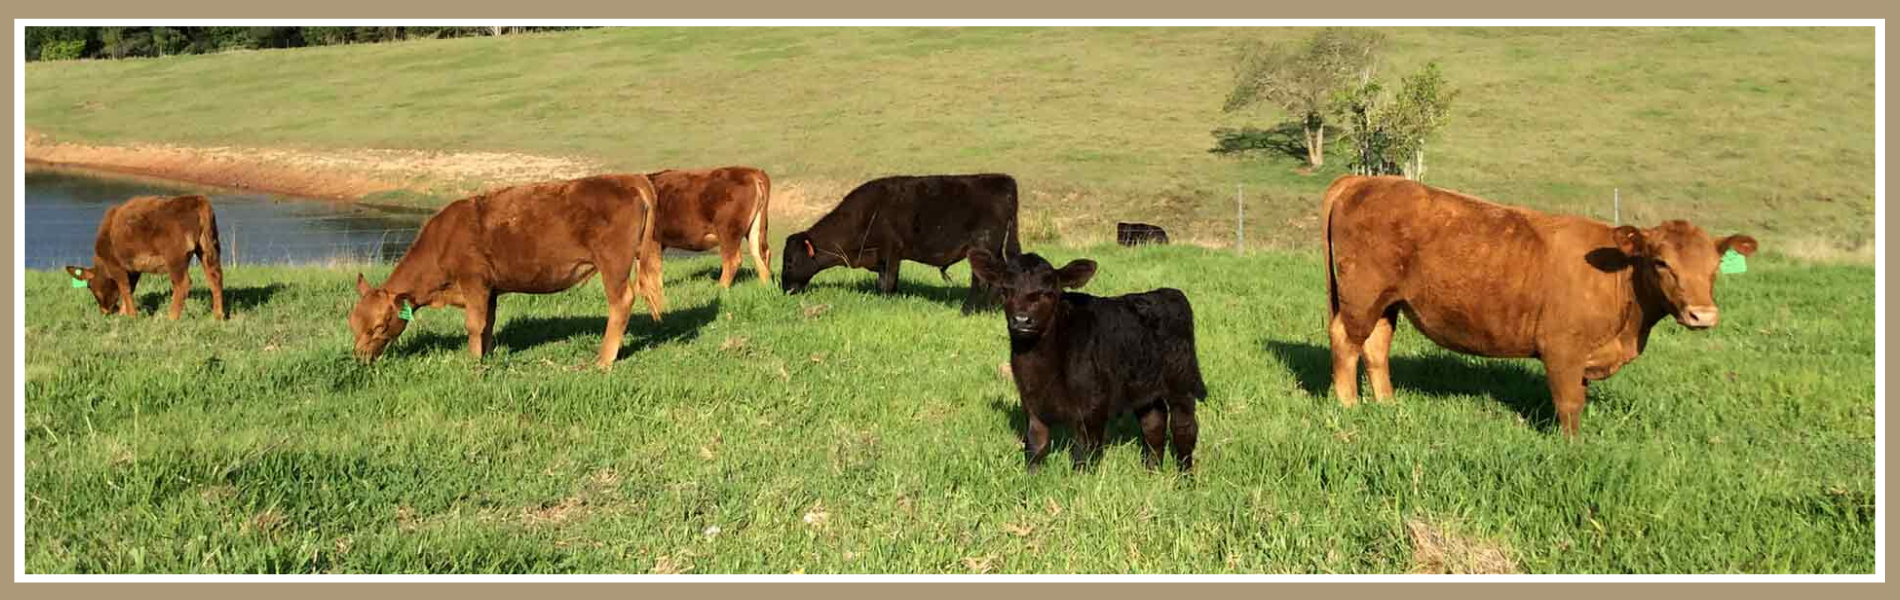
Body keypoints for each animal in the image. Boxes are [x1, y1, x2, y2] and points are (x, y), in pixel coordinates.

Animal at [65, 194, 226, 321]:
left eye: (90, 286)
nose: (104, 311)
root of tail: (198, 201)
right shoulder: (133, 268)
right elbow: (131, 288)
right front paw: (124, 312)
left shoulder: (115, 265)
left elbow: (124, 287)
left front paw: (131, 315)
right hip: (208, 248)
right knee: (215, 277)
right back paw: (218, 315)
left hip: (175, 258)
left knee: (183, 284)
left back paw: (171, 317)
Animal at [349, 174, 667, 369]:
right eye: (353, 324)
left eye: (379, 326)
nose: (360, 357)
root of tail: (625, 178)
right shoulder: (489, 289)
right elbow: (487, 324)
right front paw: (486, 355)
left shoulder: (473, 281)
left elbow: (473, 325)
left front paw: (473, 363)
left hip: (613, 264)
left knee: (621, 301)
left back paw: (604, 360)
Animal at [781, 173, 1021, 314]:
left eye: (790, 262)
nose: (784, 289)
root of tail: (1003, 179)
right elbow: (885, 281)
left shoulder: (890, 252)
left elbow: (887, 282)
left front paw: (886, 301)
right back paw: (992, 308)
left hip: (982, 247)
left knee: (981, 279)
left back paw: (970, 310)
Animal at [969, 249, 1205, 473]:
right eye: (1005, 290)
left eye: (1048, 292)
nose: (1021, 320)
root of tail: (1168, 293)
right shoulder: (1032, 403)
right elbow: (1036, 447)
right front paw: (1032, 480)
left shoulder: (1093, 407)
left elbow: (1084, 455)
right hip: (1144, 386)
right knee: (1154, 423)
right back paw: (1152, 472)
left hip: (1182, 383)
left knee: (1184, 429)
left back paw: (1185, 478)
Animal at [1321, 175, 1760, 436]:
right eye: (1661, 262)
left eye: (1714, 266)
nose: (1703, 315)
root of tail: (1363, 180)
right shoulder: (1562, 348)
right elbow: (1569, 403)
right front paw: (1572, 447)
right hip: (1361, 296)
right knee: (1345, 341)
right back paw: (1348, 406)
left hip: (1385, 302)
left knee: (1376, 346)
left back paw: (1387, 404)